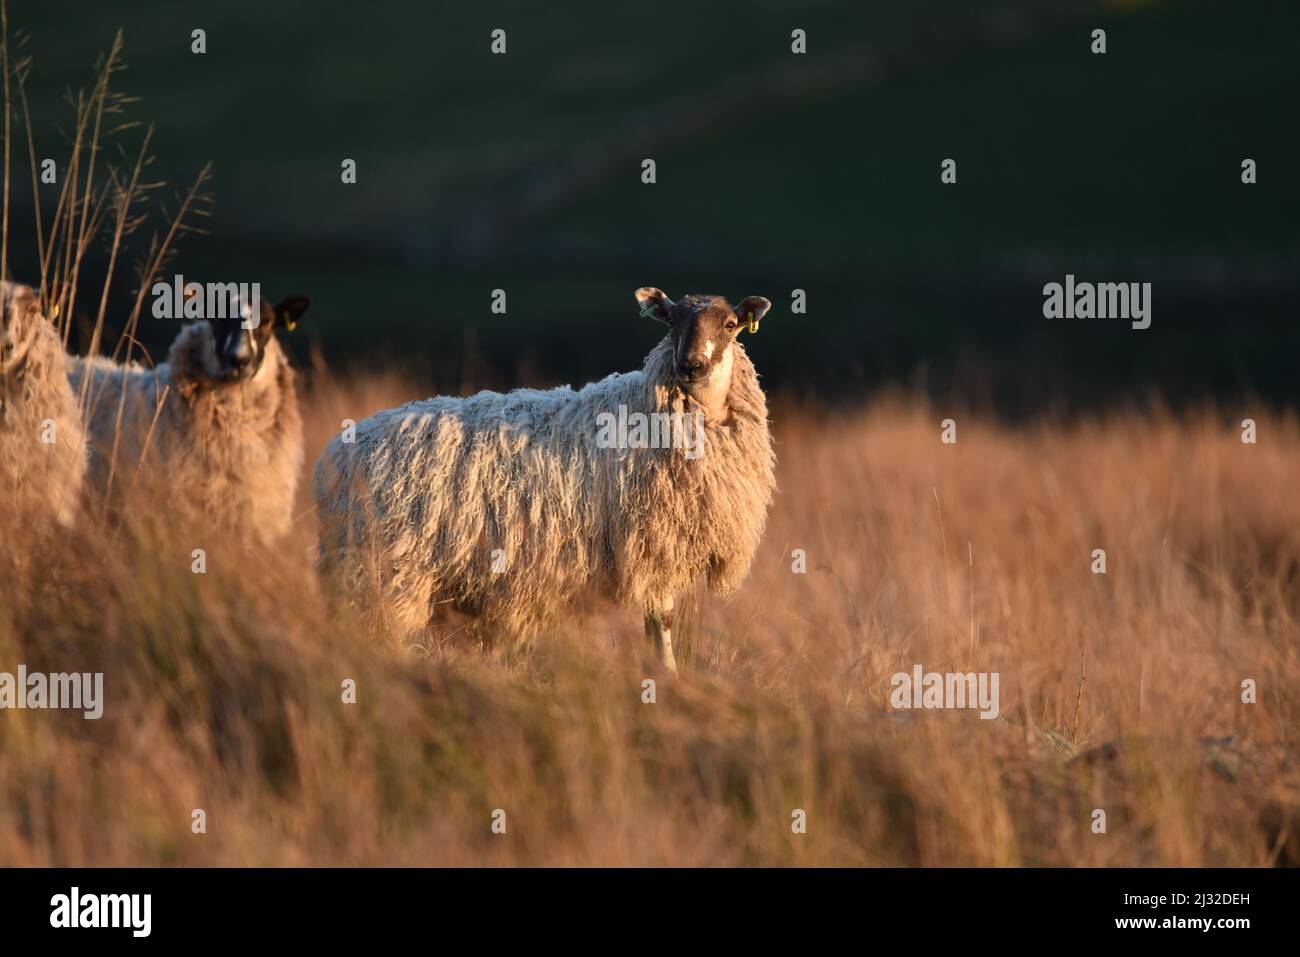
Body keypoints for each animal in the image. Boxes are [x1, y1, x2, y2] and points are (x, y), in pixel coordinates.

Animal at [313, 287, 776, 672]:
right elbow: (659, 624)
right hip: (388, 571)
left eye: (730, 325)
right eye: (672, 321)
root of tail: (334, 457)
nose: (690, 366)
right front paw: (668, 676)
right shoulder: (654, 545)